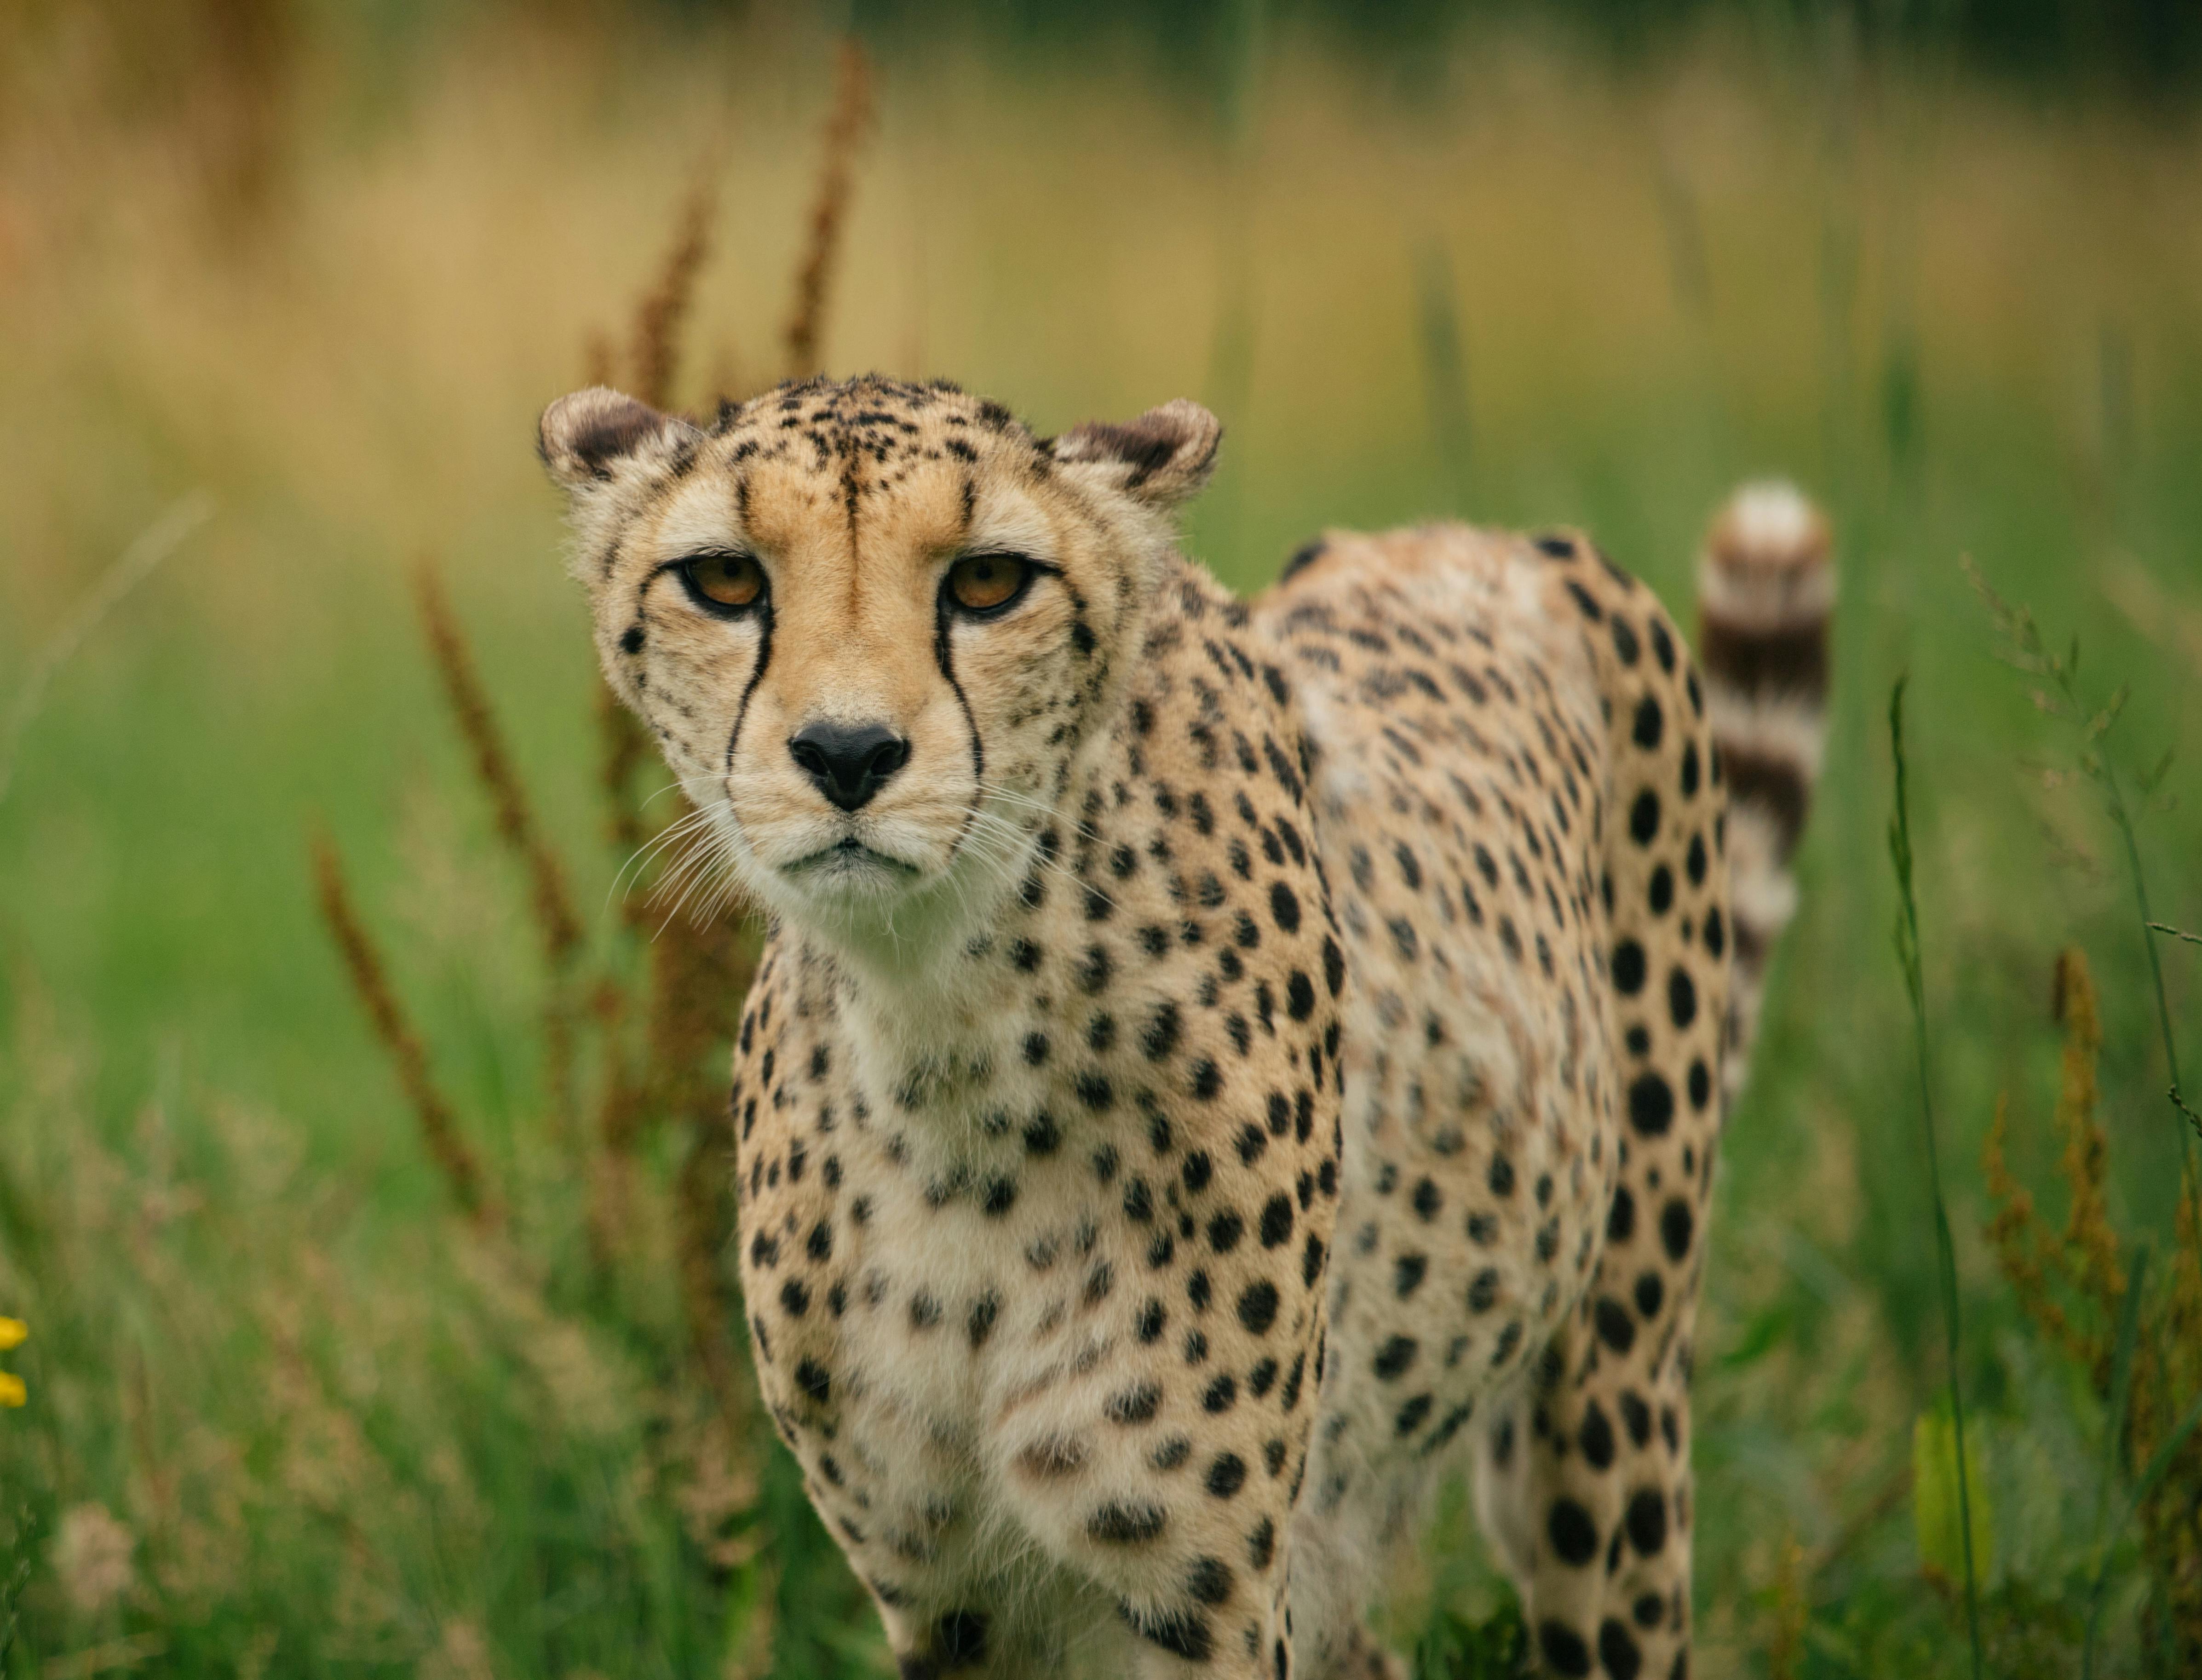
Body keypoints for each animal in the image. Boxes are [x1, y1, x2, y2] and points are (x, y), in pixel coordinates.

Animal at [538, 373, 1832, 1680]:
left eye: (988, 582)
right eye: (725, 579)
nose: (847, 753)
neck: (943, 1039)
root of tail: (1487, 538)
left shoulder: (1204, 1592)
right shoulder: (947, 1595)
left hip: (1610, 1412)